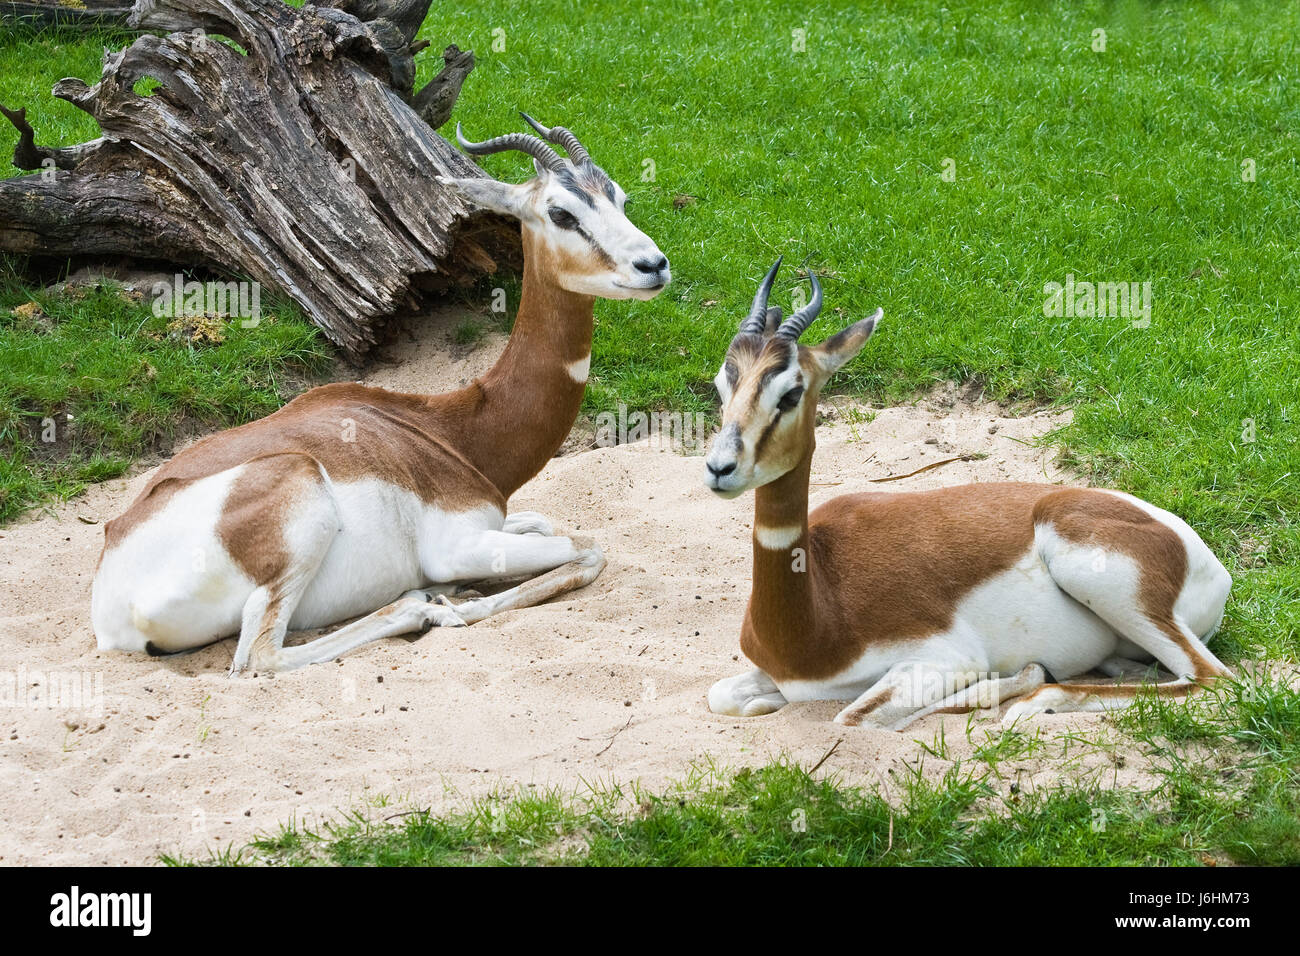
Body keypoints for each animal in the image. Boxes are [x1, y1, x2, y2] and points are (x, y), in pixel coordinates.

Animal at [91, 114, 670, 675]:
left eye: (619, 198)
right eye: (562, 213)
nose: (654, 265)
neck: (458, 434)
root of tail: (111, 600)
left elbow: (548, 523)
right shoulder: (461, 546)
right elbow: (588, 548)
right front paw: (462, 603)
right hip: (300, 504)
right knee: (258, 657)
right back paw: (424, 604)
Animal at [703, 259, 1232, 729]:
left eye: (791, 393)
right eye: (723, 383)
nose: (719, 468)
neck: (819, 608)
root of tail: (1203, 558)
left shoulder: (944, 660)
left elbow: (854, 716)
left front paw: (1021, 678)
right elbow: (721, 695)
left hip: (1107, 586)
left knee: (1215, 681)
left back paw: (1034, 702)